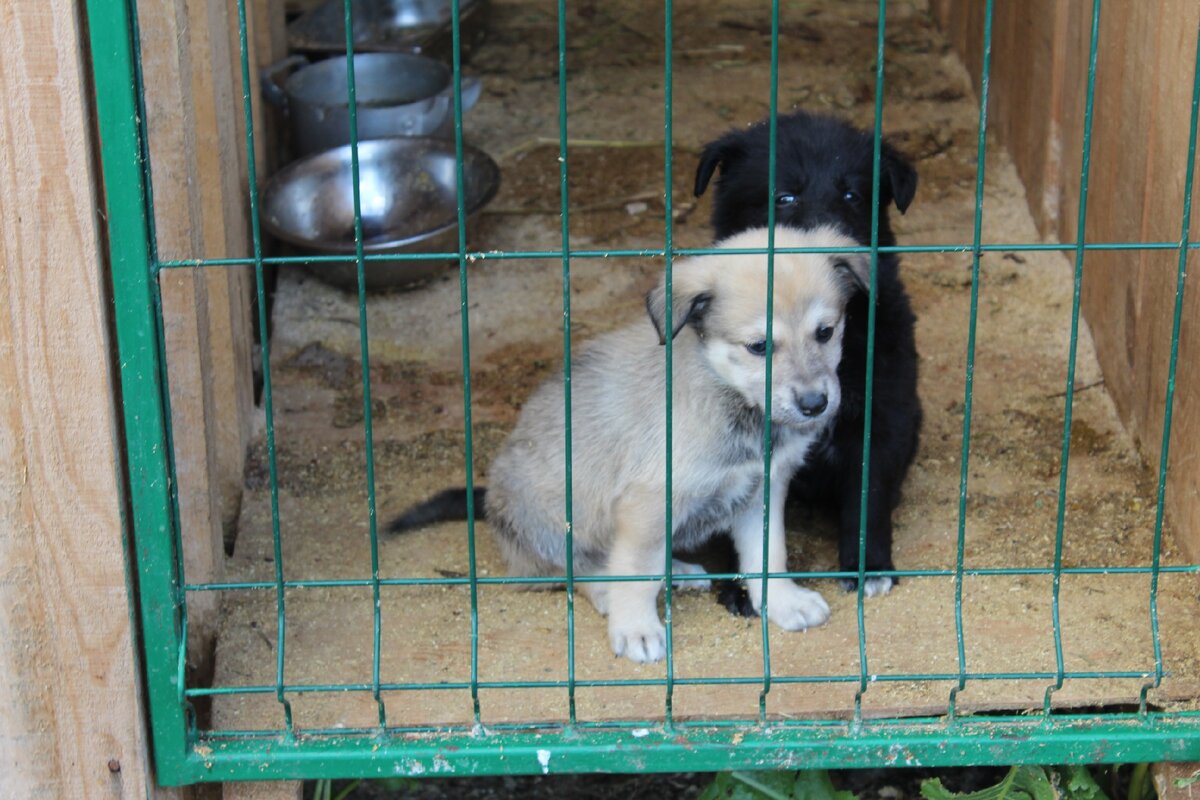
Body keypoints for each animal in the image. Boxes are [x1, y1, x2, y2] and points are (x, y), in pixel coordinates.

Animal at [388, 226, 868, 662]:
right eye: (759, 346)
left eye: (825, 332)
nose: (815, 404)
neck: (731, 398)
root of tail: (489, 501)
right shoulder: (649, 500)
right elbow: (635, 571)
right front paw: (636, 629)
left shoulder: (764, 489)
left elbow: (769, 553)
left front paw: (784, 601)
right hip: (555, 521)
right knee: (565, 570)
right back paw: (608, 591)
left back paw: (676, 572)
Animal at [691, 107, 921, 606]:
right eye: (785, 196)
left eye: (853, 194)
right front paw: (741, 584)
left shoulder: (882, 414)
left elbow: (867, 497)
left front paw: (868, 566)